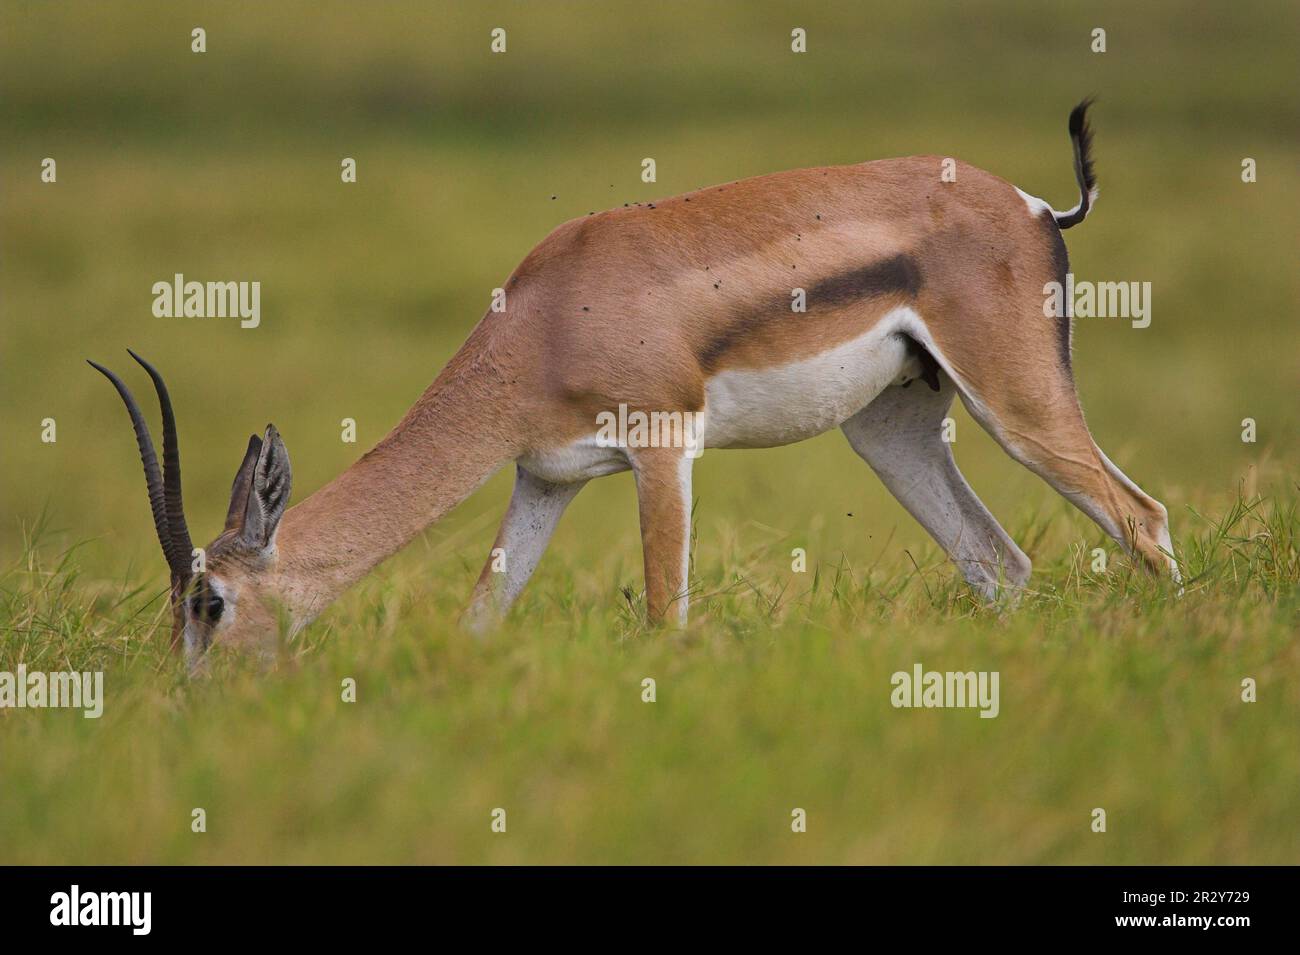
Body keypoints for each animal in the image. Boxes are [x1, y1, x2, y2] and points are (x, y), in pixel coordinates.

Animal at [92, 101, 1178, 668]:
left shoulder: (664, 446)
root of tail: (1035, 204)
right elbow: (482, 613)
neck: (545, 318)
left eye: (209, 603)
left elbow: (664, 617)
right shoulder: (545, 478)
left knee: (1141, 516)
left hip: (1018, 405)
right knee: (1001, 563)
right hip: (890, 433)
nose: (190, 699)